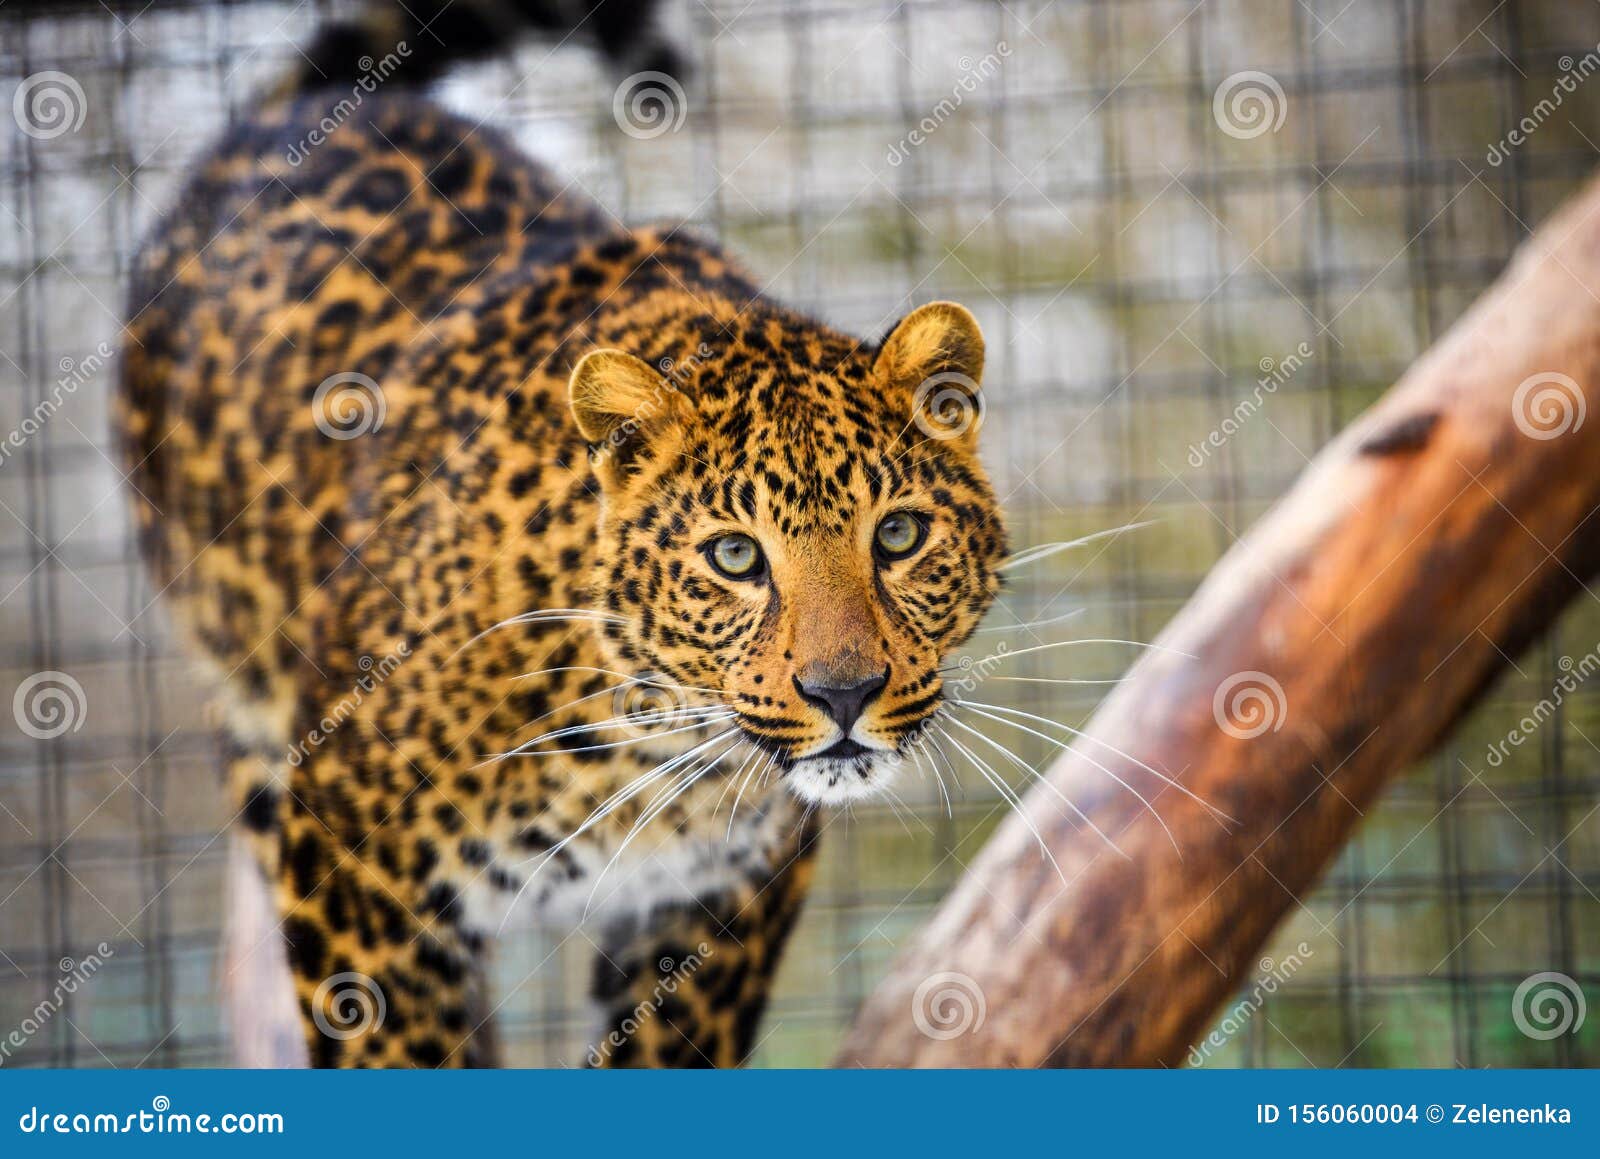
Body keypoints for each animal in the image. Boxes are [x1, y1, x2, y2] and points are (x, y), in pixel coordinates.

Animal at [116, 0, 1008, 1068]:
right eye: (736, 556)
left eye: (900, 536)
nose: (845, 694)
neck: (652, 746)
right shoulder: (354, 867)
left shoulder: (723, 897)